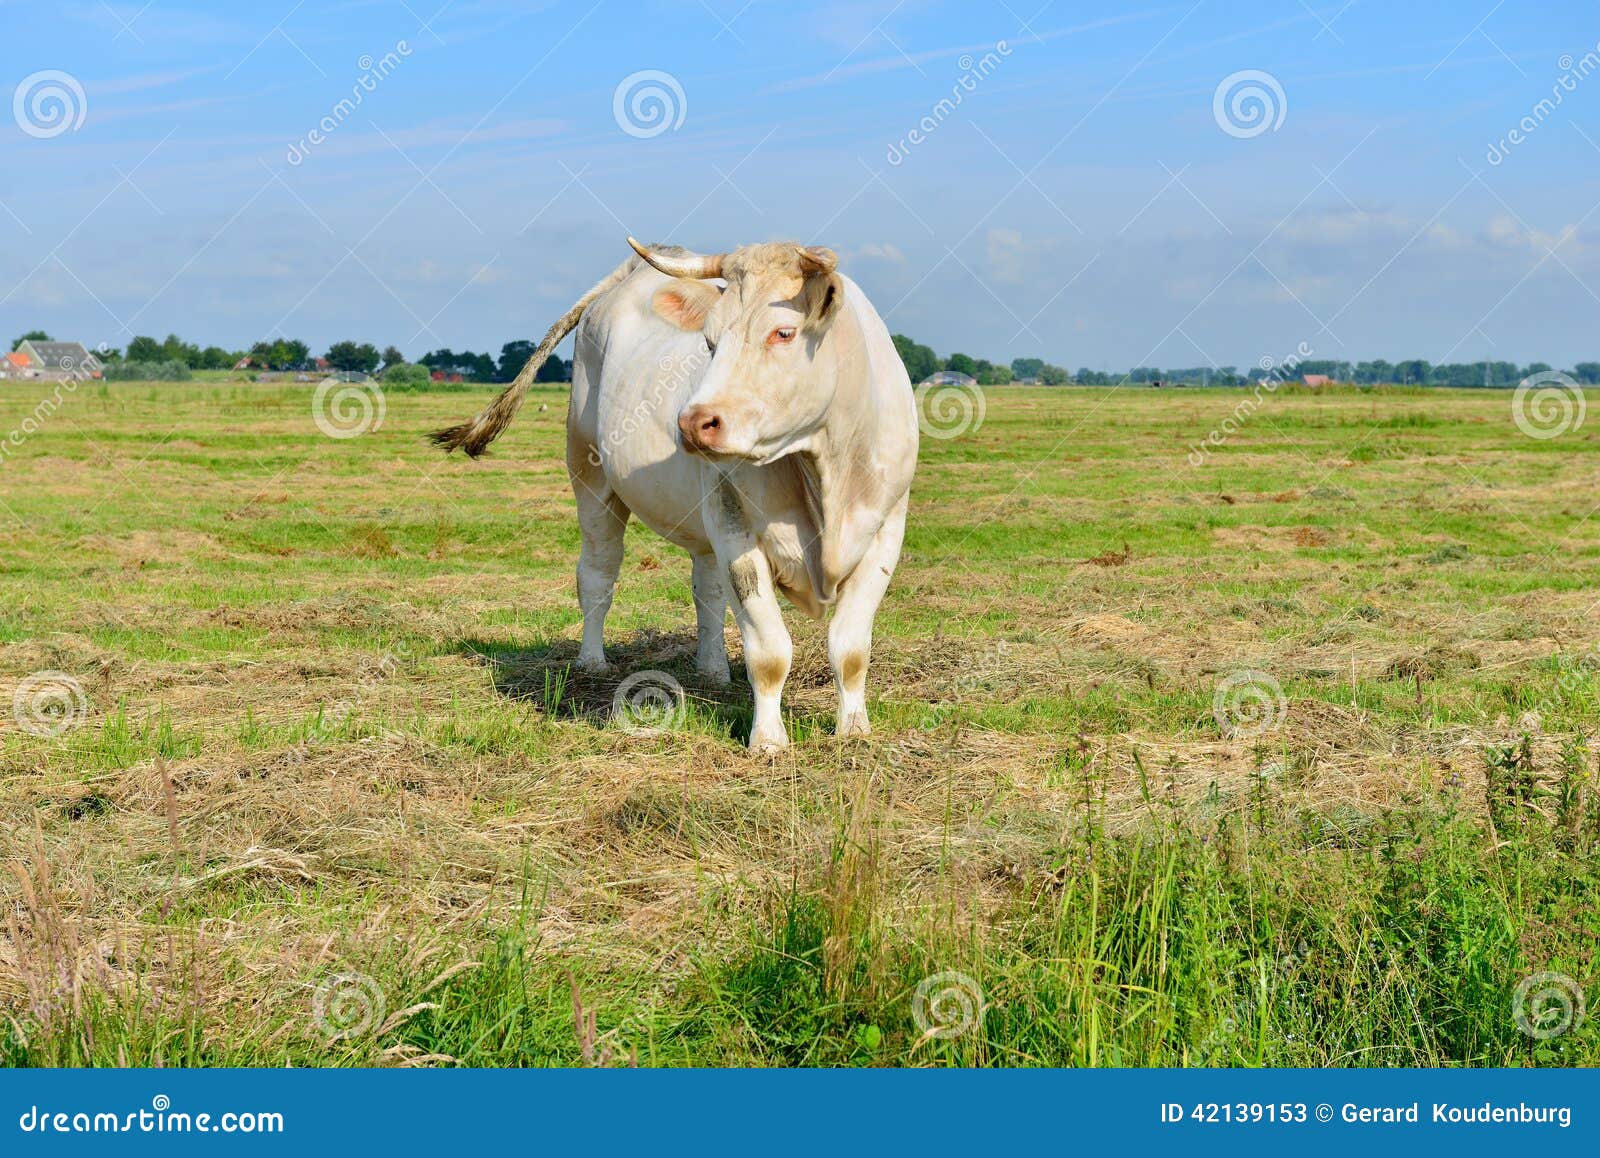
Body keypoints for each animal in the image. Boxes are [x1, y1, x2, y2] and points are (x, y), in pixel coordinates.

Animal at [432, 238, 918, 753]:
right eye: (709, 341)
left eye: (783, 332)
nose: (692, 422)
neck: (821, 466)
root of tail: (627, 273)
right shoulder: (737, 531)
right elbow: (768, 650)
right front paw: (768, 742)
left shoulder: (885, 531)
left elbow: (851, 647)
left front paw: (855, 731)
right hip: (592, 479)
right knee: (598, 576)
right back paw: (592, 661)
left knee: (707, 592)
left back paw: (713, 670)